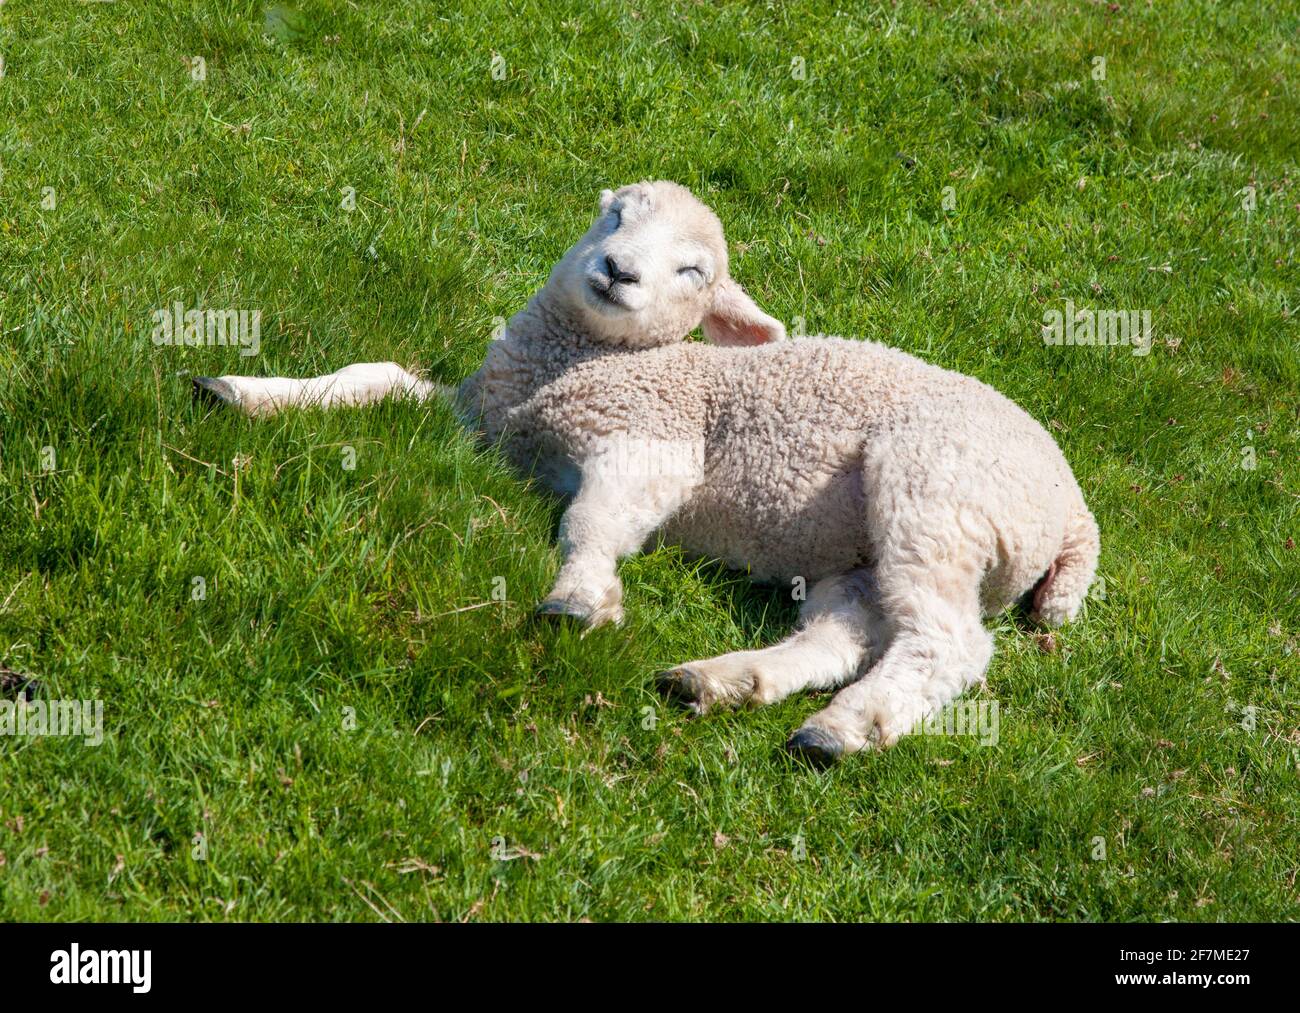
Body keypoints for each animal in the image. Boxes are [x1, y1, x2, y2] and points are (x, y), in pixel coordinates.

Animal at [194, 180, 1100, 762]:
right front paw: (244, 391)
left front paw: (581, 596)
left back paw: (843, 730)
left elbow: (592, 520)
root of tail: (1075, 510)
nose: (618, 270)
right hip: (865, 553)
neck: (578, 366)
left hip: (937, 492)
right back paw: (729, 685)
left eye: (694, 270)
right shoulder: (481, 419)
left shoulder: (651, 440)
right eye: (615, 214)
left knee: (948, 644)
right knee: (843, 633)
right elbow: (370, 374)